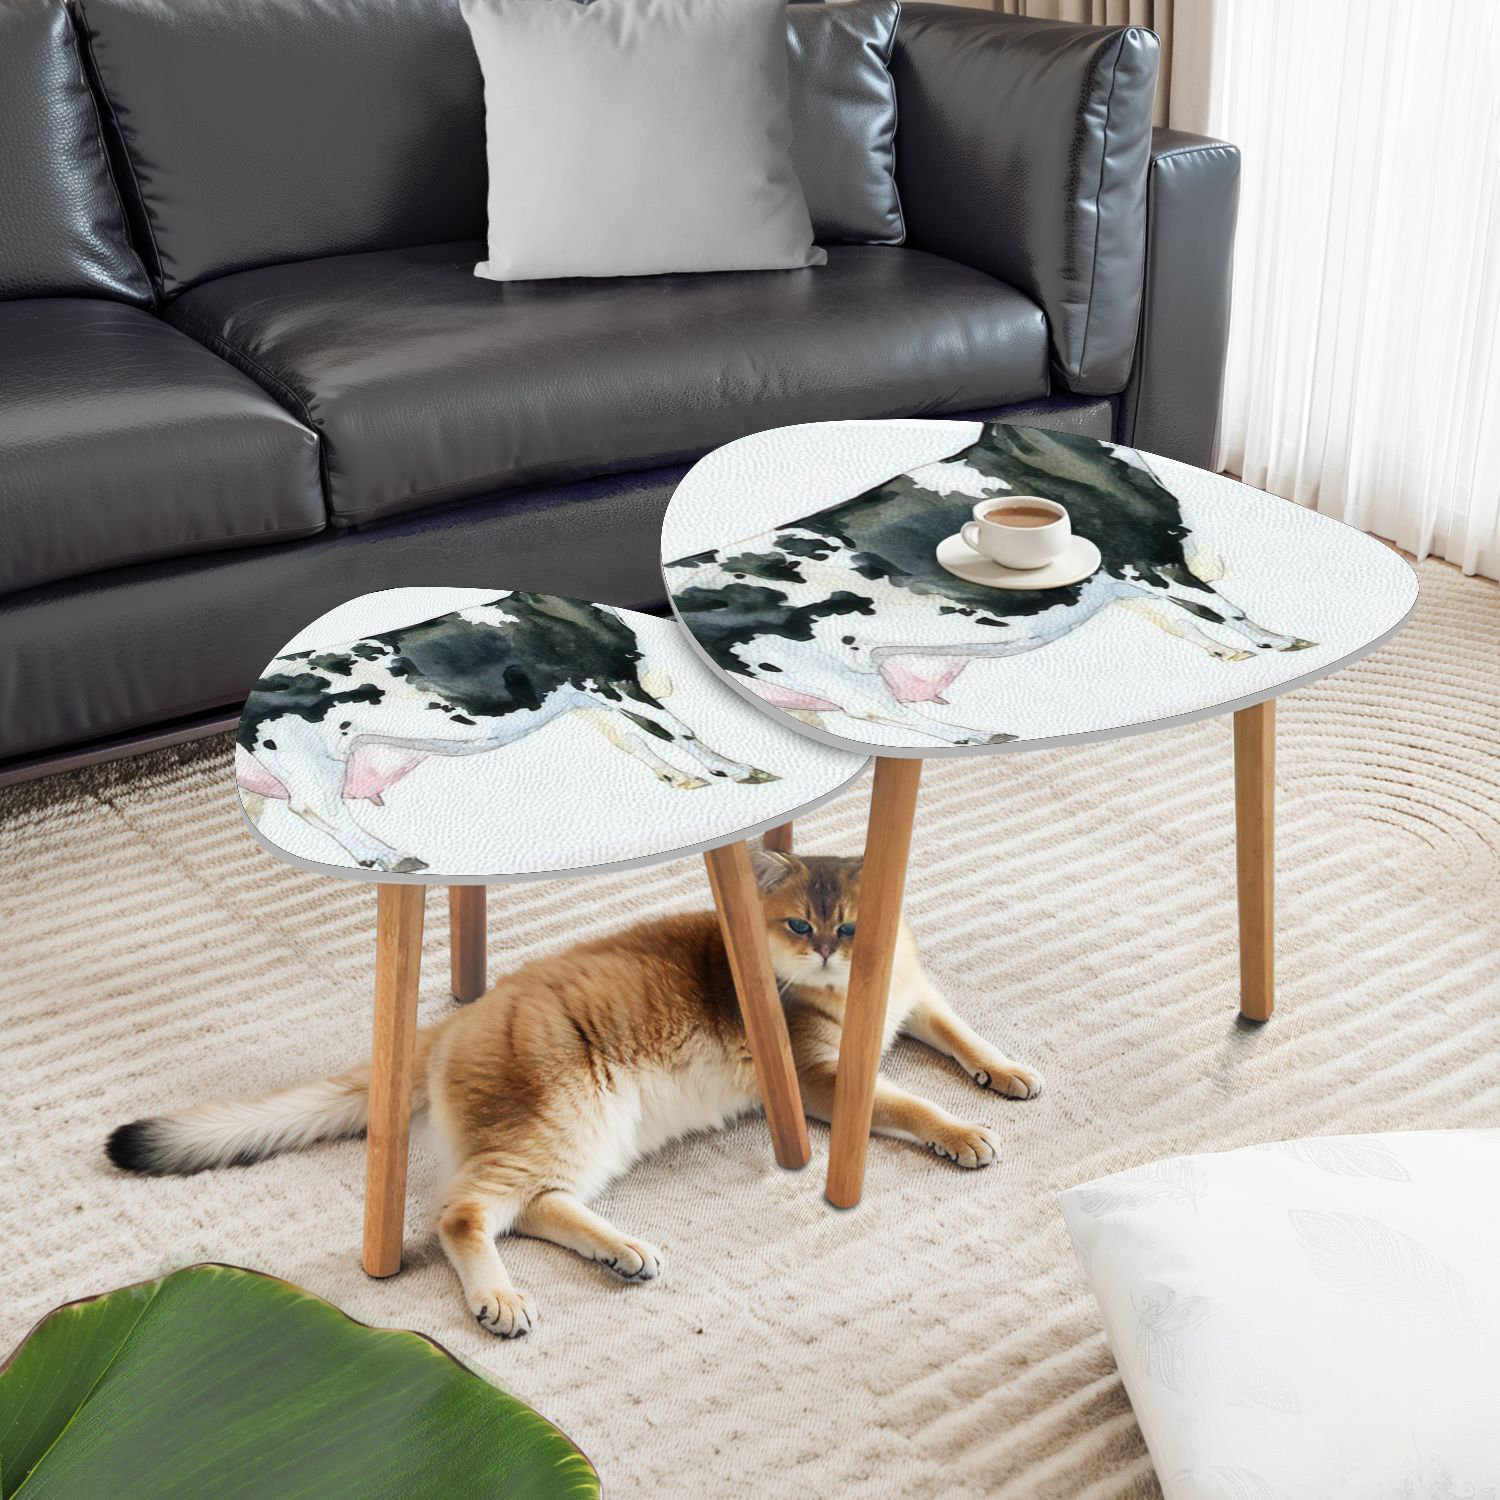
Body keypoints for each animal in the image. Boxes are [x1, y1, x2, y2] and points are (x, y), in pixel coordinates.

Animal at [235, 593, 778, 873]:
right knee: (314, 807)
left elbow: (632, 738)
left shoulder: (582, 695)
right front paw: (738, 769)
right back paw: (392, 856)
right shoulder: (604, 677)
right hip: (307, 756)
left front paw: (679, 778)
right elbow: (674, 729)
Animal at [667, 425, 1315, 747]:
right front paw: (1282, 644)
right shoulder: (1145, 557)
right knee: (885, 713)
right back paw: (982, 735)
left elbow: (1188, 617)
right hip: (808, 663)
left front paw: (1229, 654)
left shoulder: (1127, 579)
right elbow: (1221, 608)